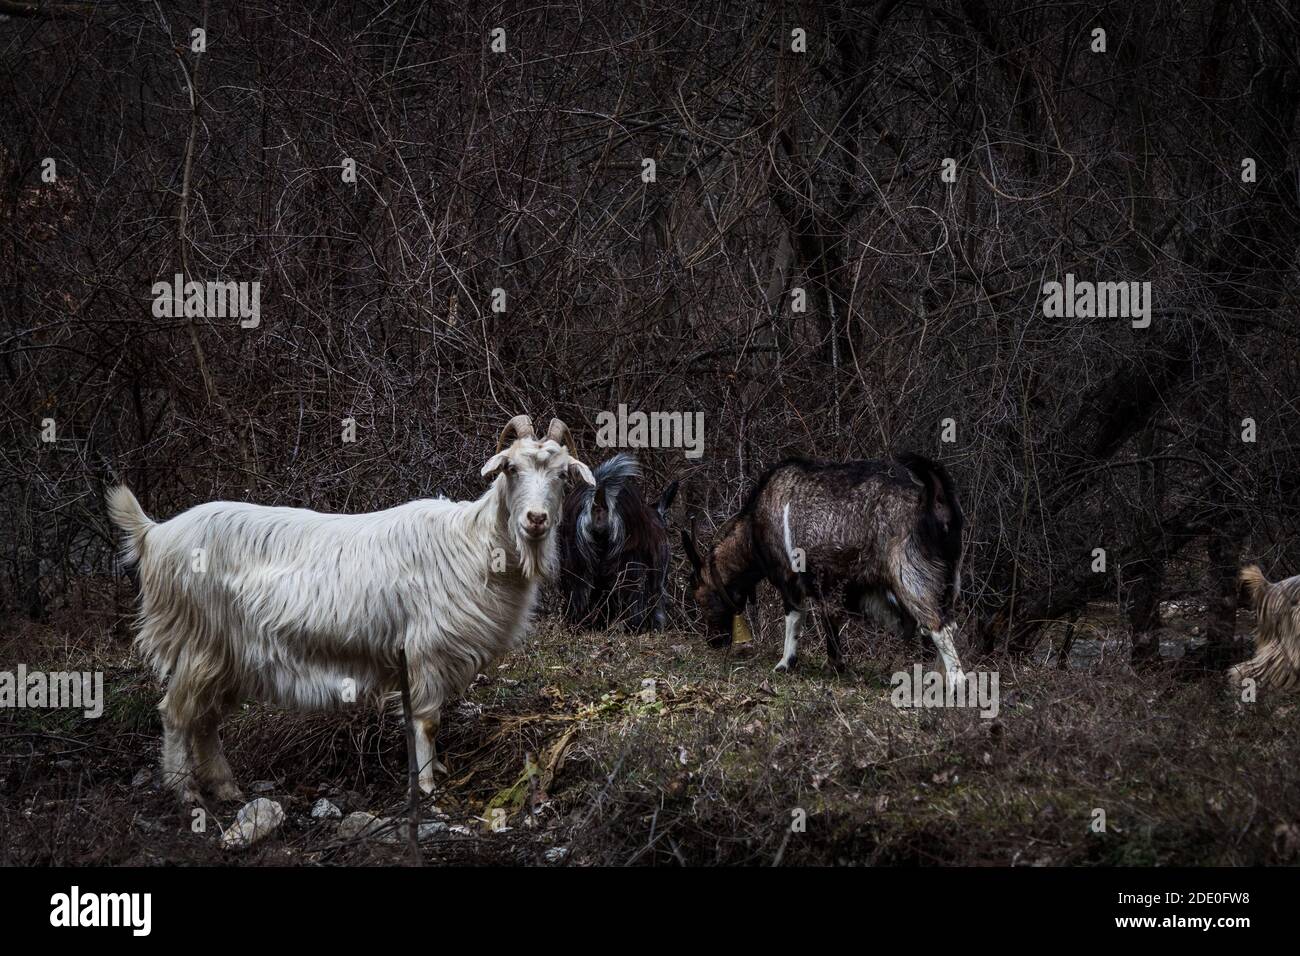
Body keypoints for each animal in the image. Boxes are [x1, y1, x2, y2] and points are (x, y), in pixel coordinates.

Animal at [107, 415, 594, 803]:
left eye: (563, 475)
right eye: (511, 468)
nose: (536, 519)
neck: (476, 543)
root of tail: (155, 532)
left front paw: (433, 772)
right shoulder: (424, 651)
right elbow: (427, 721)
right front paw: (426, 785)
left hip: (227, 654)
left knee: (205, 720)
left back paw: (226, 789)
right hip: (198, 641)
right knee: (176, 713)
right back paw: (185, 790)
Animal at [558, 453, 678, 632]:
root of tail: (598, 502)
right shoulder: (657, 580)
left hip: (577, 565)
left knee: (578, 598)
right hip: (631, 570)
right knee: (635, 605)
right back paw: (634, 628)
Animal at [681, 453, 965, 683]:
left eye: (700, 597)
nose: (713, 641)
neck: (753, 528)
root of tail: (934, 501)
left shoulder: (790, 577)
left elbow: (795, 617)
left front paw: (786, 663)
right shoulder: (831, 584)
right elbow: (829, 619)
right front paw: (835, 665)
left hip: (912, 578)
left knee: (939, 626)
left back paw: (956, 684)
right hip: (948, 581)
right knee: (947, 625)